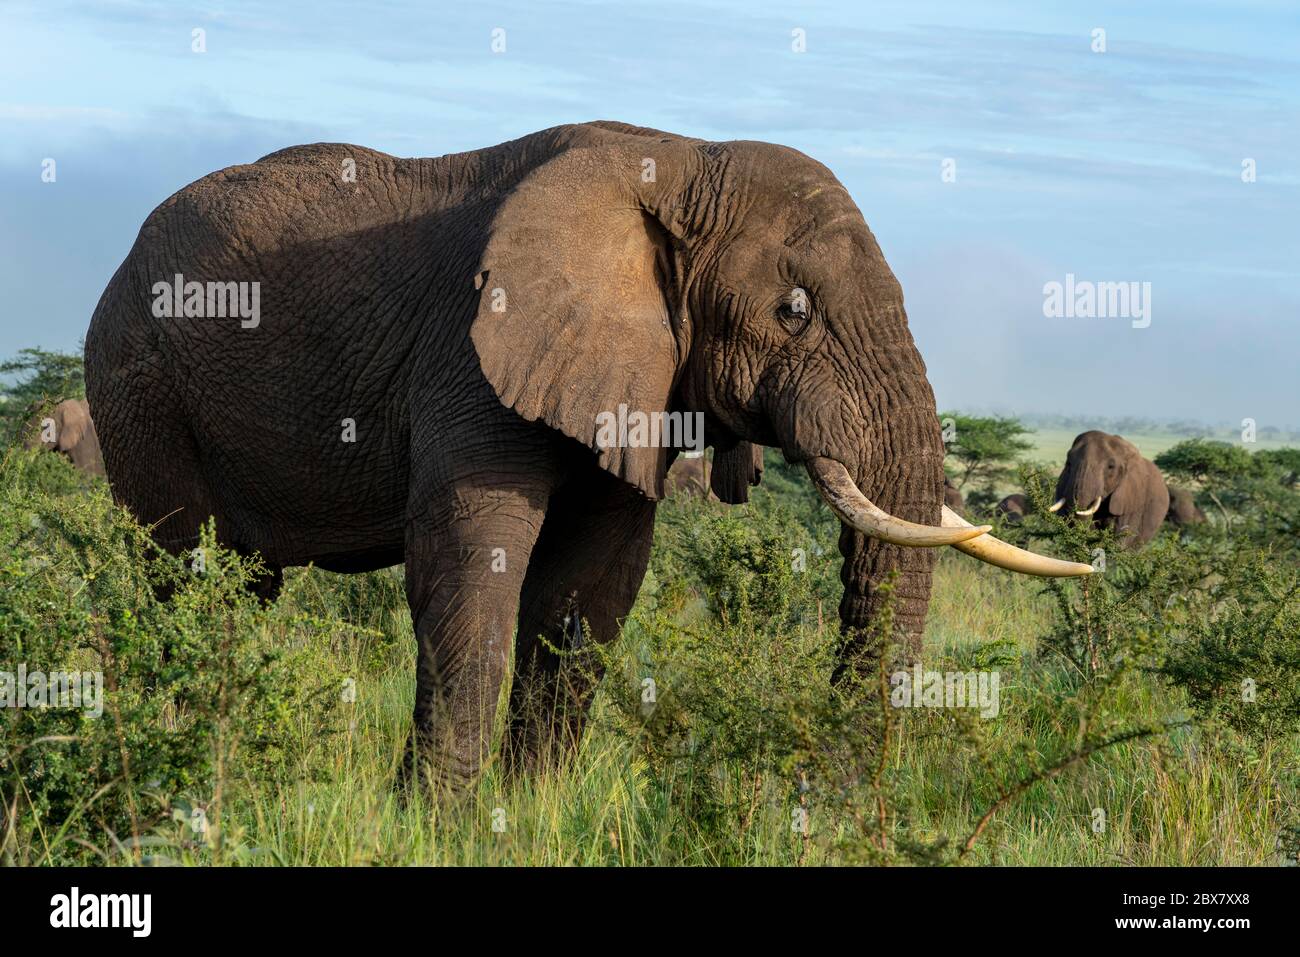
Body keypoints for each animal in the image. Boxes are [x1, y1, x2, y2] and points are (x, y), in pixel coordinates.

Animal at [85, 121, 1089, 789]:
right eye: (794, 311)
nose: (815, 796)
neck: (679, 158)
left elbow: (591, 590)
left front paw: (527, 813)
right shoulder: (468, 355)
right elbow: (471, 567)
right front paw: (439, 824)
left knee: (239, 587)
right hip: (138, 380)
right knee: (186, 574)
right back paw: (183, 773)